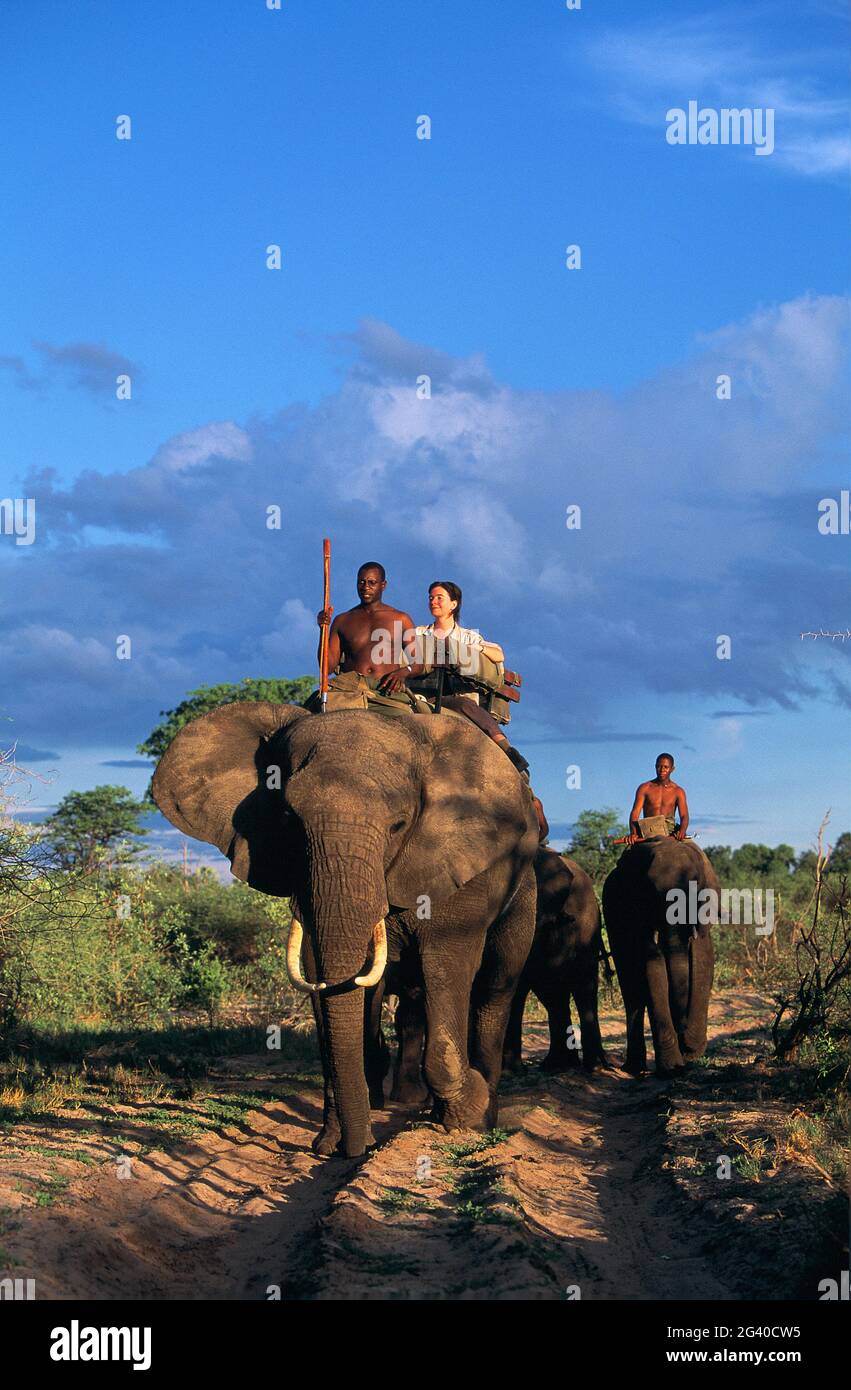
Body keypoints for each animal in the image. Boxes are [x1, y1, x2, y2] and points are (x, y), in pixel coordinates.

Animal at [152, 700, 539, 1157]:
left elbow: (446, 964)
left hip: (524, 887)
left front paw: (465, 1118)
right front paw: (332, 1140)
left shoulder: (459, 860)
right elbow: (323, 972)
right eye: (288, 818)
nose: (357, 1150)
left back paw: (483, 1110)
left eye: (398, 824)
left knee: (496, 987)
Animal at [387, 846, 608, 1101]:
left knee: (583, 985)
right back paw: (557, 1066)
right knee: (553, 994)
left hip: (586, 922)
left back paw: (592, 1068)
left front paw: (505, 1074)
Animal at [602, 837, 716, 1076]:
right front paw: (674, 1066)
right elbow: (653, 967)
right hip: (612, 913)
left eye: (694, 886)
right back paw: (634, 1069)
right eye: (649, 892)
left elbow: (703, 959)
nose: (685, 1044)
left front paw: (690, 1050)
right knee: (631, 988)